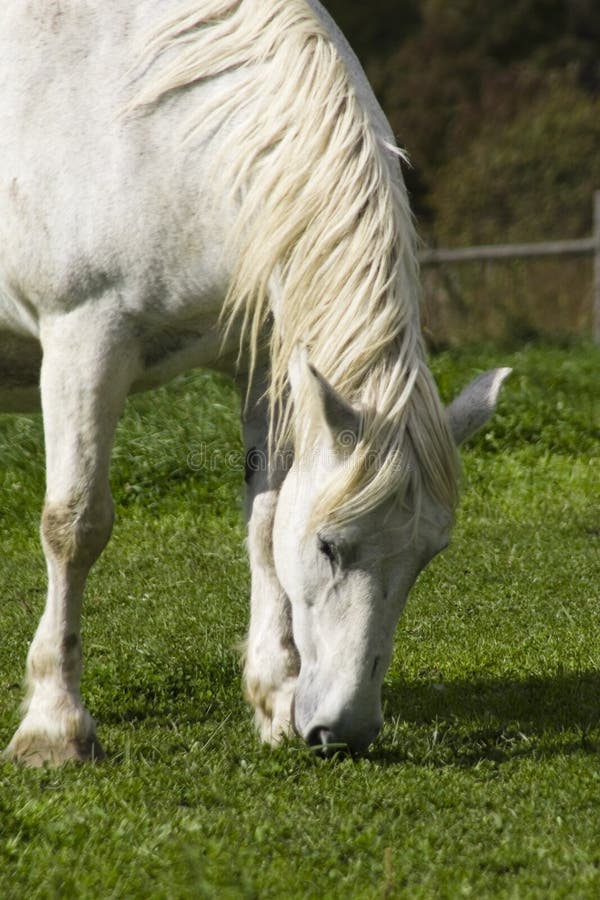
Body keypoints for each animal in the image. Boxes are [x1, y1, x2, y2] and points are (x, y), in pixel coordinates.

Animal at [0, 0, 510, 766]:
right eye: (329, 546)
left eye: (429, 555)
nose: (346, 731)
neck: (166, 134)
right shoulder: (83, 343)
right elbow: (75, 525)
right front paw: (55, 727)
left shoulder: (269, 366)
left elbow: (266, 522)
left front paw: (275, 700)